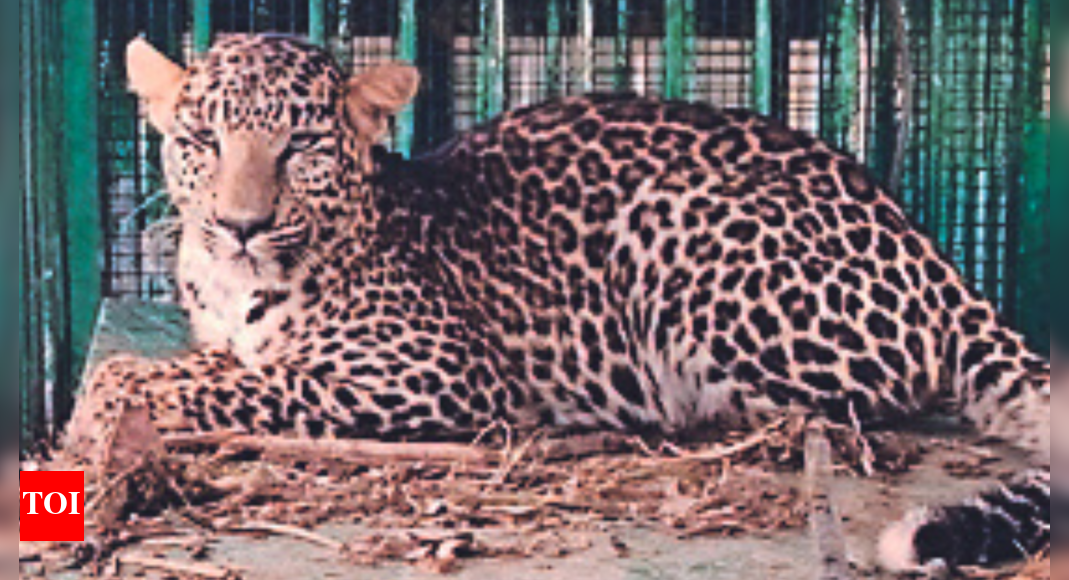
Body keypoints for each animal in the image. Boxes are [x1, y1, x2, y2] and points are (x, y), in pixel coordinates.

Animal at [66, 34, 1052, 573]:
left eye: (302, 145)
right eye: (202, 139)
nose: (240, 224)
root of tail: (926, 245)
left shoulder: (431, 369)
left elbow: (192, 378)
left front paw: (93, 420)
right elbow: (195, 364)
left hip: (681, 236)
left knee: (838, 401)